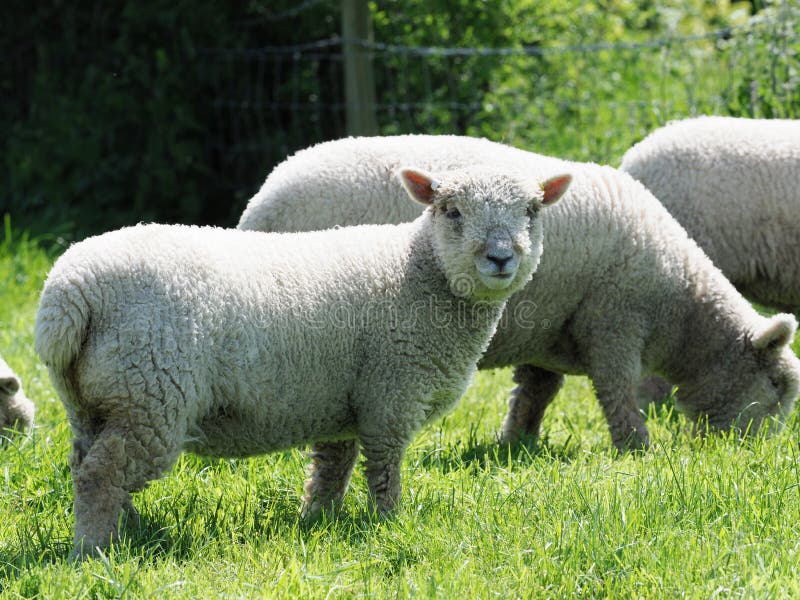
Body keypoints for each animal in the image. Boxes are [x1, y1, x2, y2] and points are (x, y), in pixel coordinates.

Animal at [35, 165, 570, 557]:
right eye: (452, 211)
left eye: (531, 211)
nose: (500, 258)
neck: (419, 273)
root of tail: (71, 292)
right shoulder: (390, 395)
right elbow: (384, 469)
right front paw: (389, 523)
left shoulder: (344, 403)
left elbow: (333, 468)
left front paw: (318, 520)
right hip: (151, 393)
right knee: (100, 475)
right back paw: (94, 551)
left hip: (95, 401)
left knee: (90, 464)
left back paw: (129, 531)